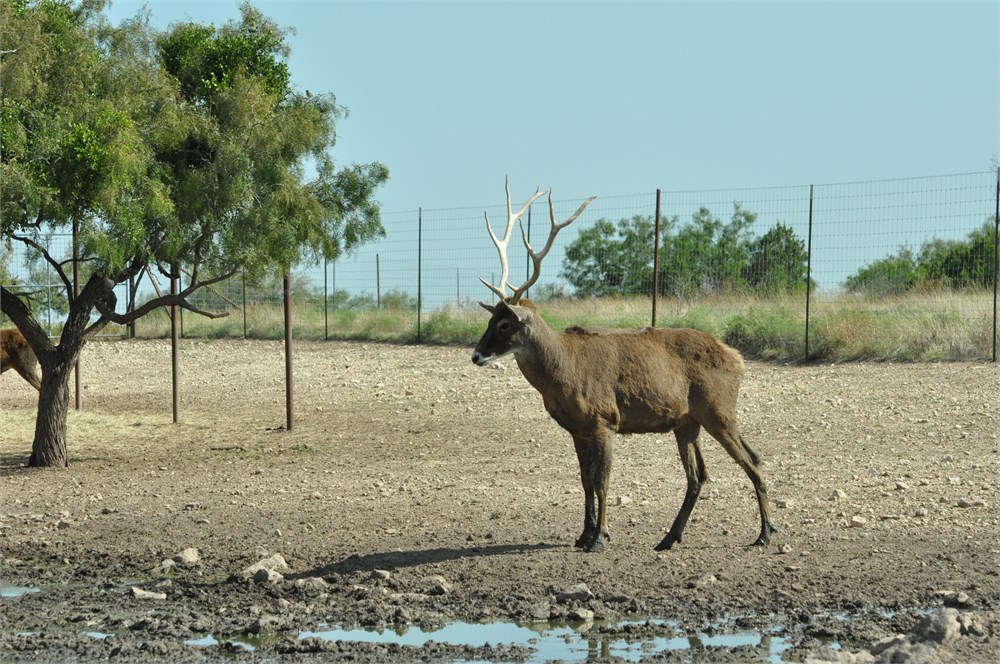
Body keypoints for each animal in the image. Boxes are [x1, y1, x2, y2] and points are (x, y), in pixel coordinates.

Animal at [471, 179, 778, 553]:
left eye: (505, 324)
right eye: (490, 320)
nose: (476, 355)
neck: (563, 372)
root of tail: (737, 357)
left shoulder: (605, 419)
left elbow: (602, 479)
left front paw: (600, 537)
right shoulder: (577, 428)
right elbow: (585, 479)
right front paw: (583, 535)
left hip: (719, 409)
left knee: (752, 460)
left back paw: (765, 533)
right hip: (687, 421)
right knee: (699, 475)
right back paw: (668, 538)